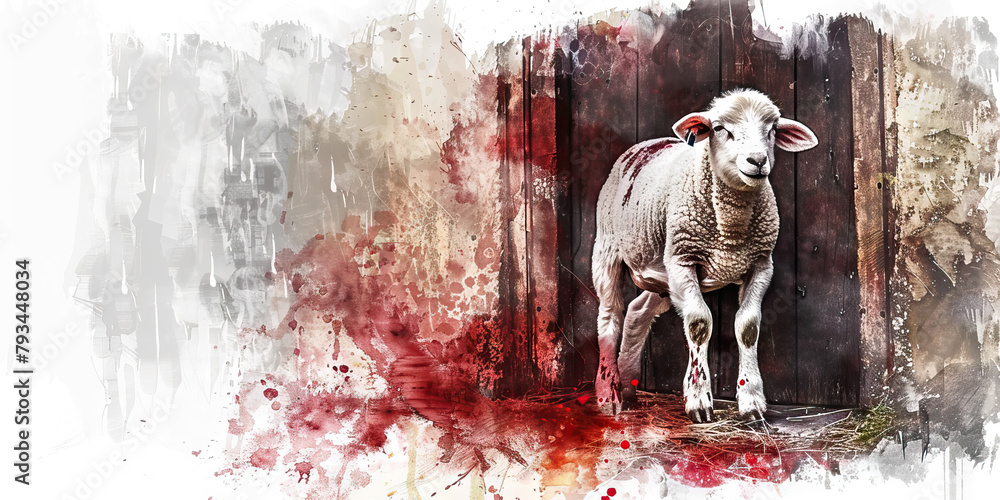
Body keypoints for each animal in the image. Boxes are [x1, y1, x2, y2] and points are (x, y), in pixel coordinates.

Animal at [592, 89, 818, 422]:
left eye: (773, 130)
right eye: (720, 129)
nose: (757, 161)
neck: (731, 227)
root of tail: (643, 145)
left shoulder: (760, 265)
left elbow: (748, 327)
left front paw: (751, 401)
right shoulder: (683, 259)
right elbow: (699, 324)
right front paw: (698, 400)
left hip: (661, 275)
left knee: (636, 312)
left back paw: (629, 391)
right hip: (608, 248)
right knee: (610, 317)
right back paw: (608, 395)